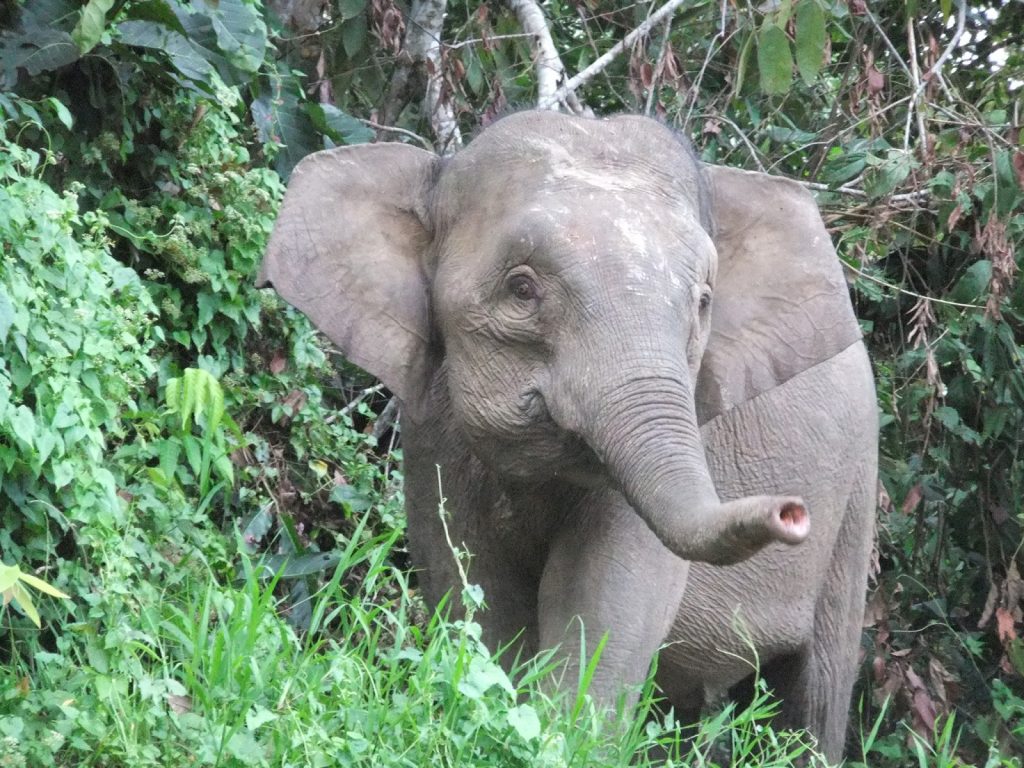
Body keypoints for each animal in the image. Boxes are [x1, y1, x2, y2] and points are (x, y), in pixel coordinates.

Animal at [257, 110, 877, 762]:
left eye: (704, 303)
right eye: (522, 290)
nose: (791, 513)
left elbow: (600, 604)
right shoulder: (431, 434)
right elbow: (470, 585)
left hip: (855, 500)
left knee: (816, 693)